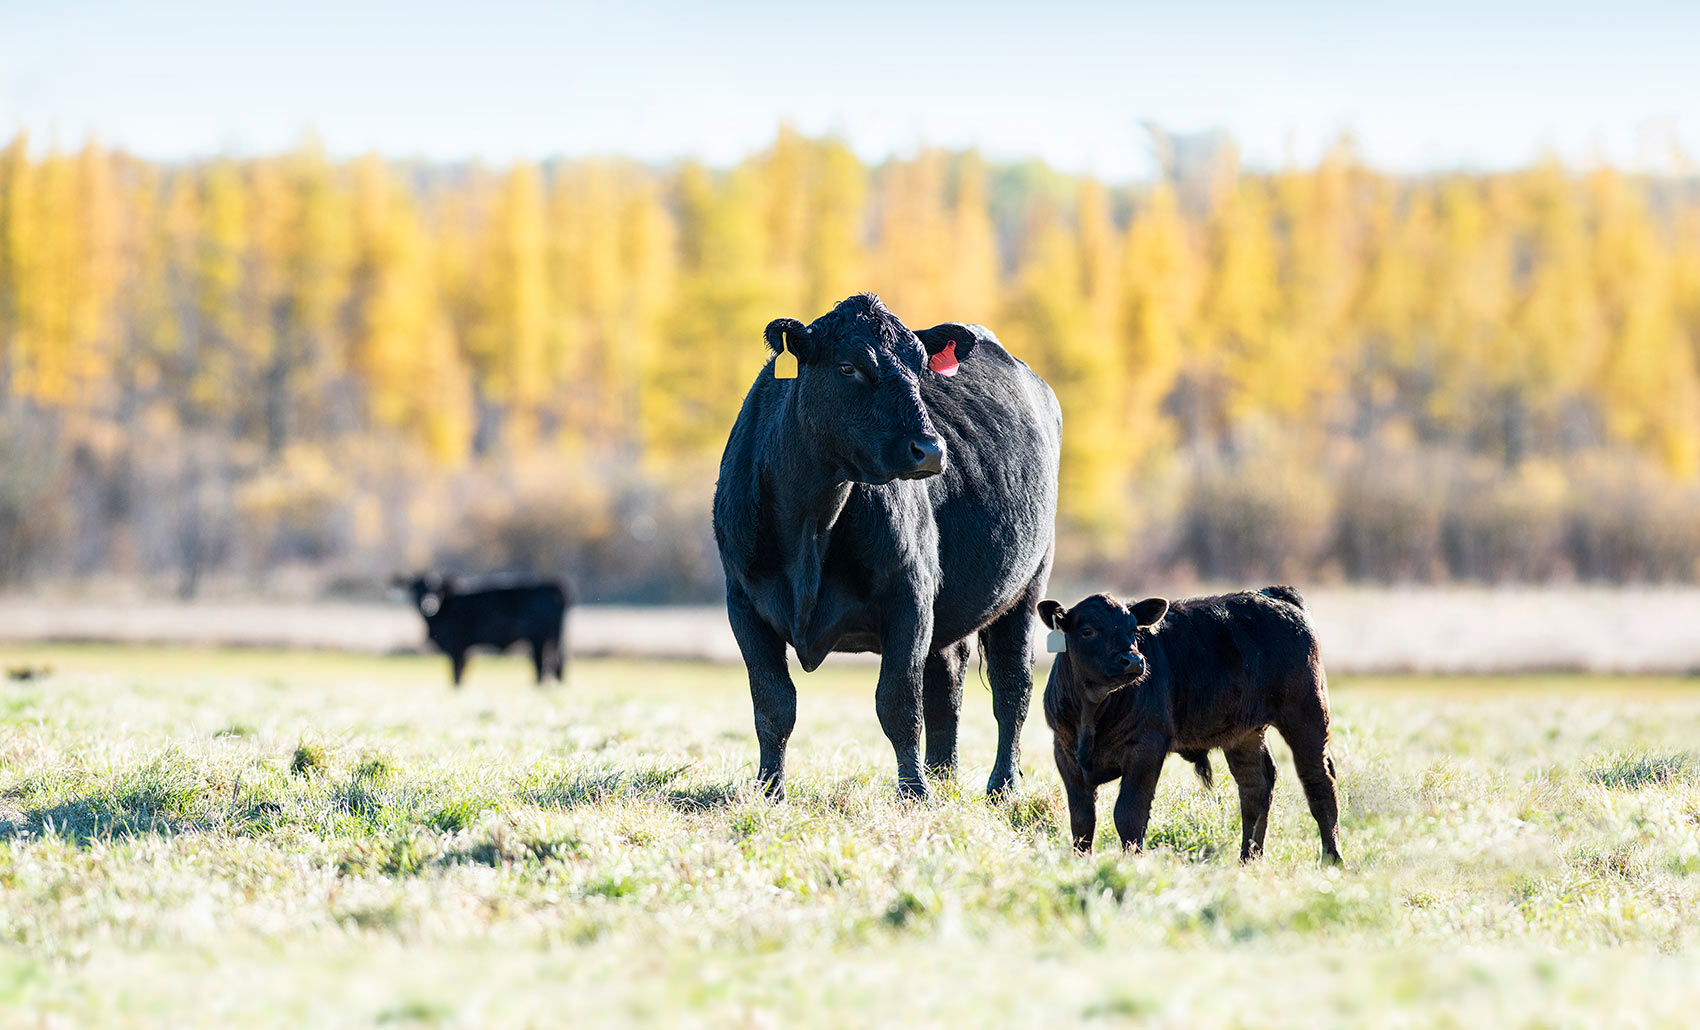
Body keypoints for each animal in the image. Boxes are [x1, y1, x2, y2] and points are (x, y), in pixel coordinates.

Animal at [394, 574, 571, 686]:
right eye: (415, 589)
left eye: (437, 589)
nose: (428, 604)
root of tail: (553, 585)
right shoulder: (463, 649)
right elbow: (460, 672)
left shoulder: (457, 646)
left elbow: (456, 674)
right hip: (553, 640)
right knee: (554, 665)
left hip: (539, 639)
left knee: (542, 665)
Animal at [713, 293, 1061, 800]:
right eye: (848, 367)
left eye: (920, 369)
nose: (931, 449)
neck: (810, 527)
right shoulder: (743, 601)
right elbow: (774, 704)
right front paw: (770, 791)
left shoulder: (910, 594)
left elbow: (897, 702)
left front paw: (914, 793)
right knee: (946, 687)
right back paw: (944, 775)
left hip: (1027, 585)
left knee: (1011, 687)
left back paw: (1001, 786)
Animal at [1038, 586, 1342, 863]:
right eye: (1088, 630)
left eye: (1133, 630)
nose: (1133, 660)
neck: (1090, 716)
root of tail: (1273, 593)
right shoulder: (1063, 750)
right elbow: (1082, 818)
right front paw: (1081, 862)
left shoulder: (1147, 747)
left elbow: (1128, 813)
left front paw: (1130, 862)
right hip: (1244, 734)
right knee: (1256, 786)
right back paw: (1249, 859)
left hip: (1307, 714)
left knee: (1319, 781)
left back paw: (1332, 858)